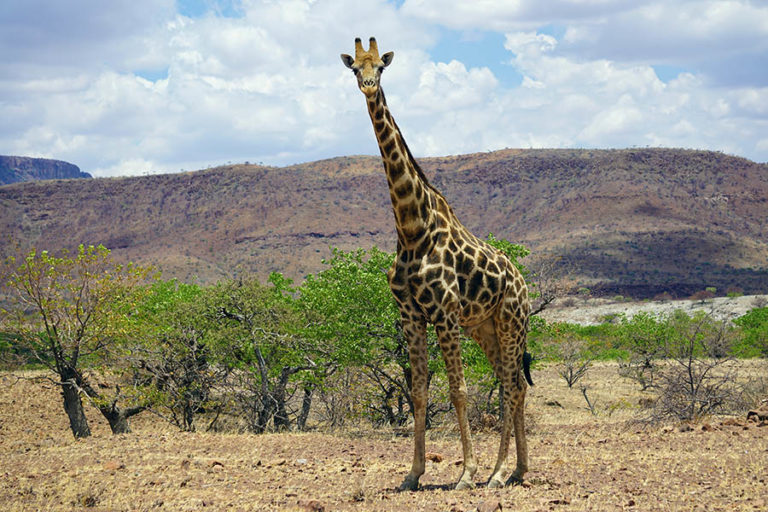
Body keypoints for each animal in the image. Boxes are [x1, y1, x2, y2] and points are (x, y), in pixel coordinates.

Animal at [341, 37, 533, 491]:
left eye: (380, 67)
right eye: (355, 68)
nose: (369, 86)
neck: (412, 227)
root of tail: (523, 283)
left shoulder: (444, 312)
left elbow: (458, 390)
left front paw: (466, 473)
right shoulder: (410, 314)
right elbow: (418, 392)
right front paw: (412, 474)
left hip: (511, 321)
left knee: (513, 386)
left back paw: (497, 473)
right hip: (485, 327)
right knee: (512, 382)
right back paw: (516, 469)